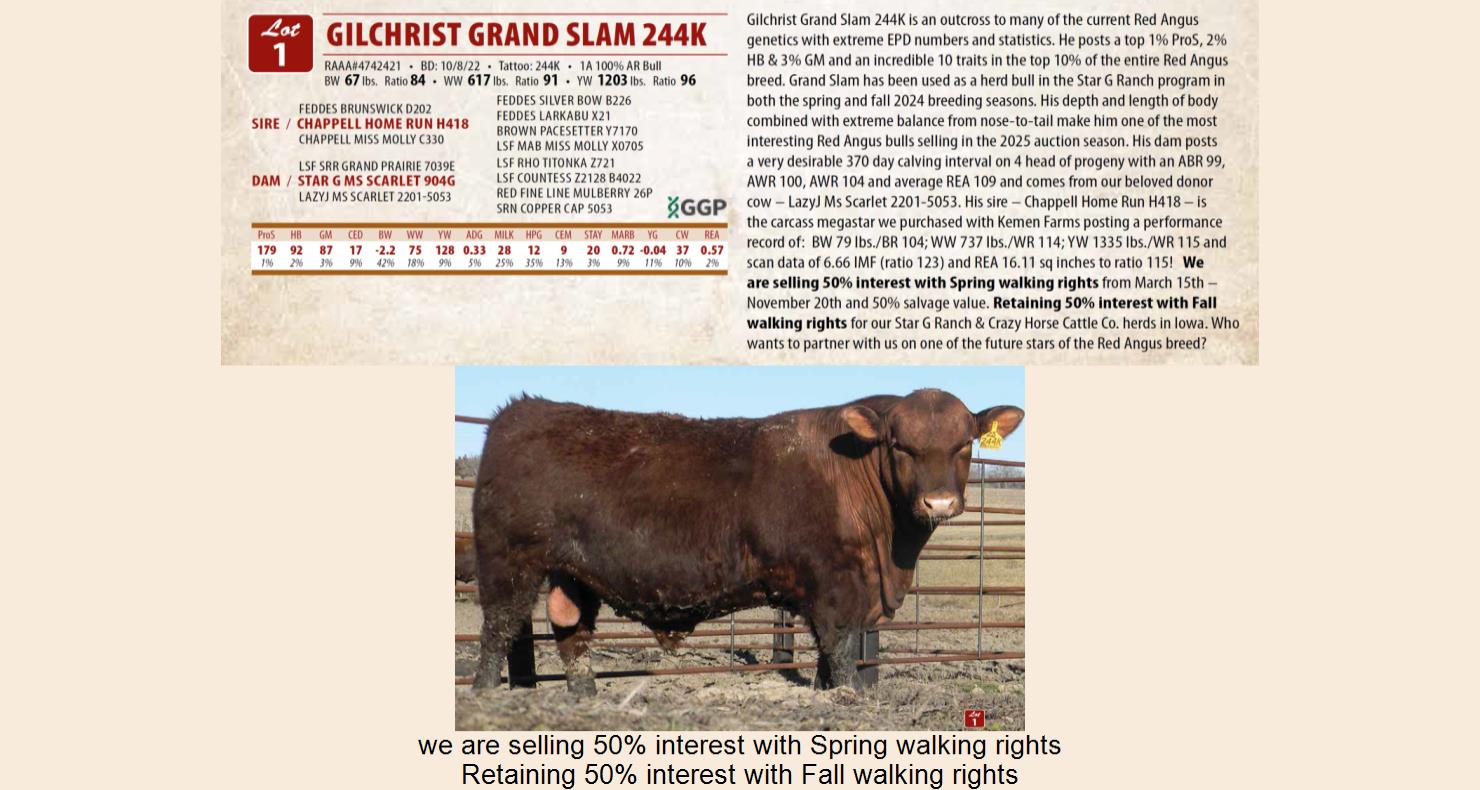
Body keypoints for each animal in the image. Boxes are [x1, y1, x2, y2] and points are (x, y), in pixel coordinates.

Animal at [469, 388, 1023, 695]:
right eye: (899, 445)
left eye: (964, 444)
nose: (939, 502)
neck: (891, 557)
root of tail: (517, 413)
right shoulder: (836, 589)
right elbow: (842, 658)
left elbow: (824, 665)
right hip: (507, 563)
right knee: (497, 634)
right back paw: (484, 694)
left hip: (573, 574)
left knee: (573, 635)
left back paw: (585, 700)